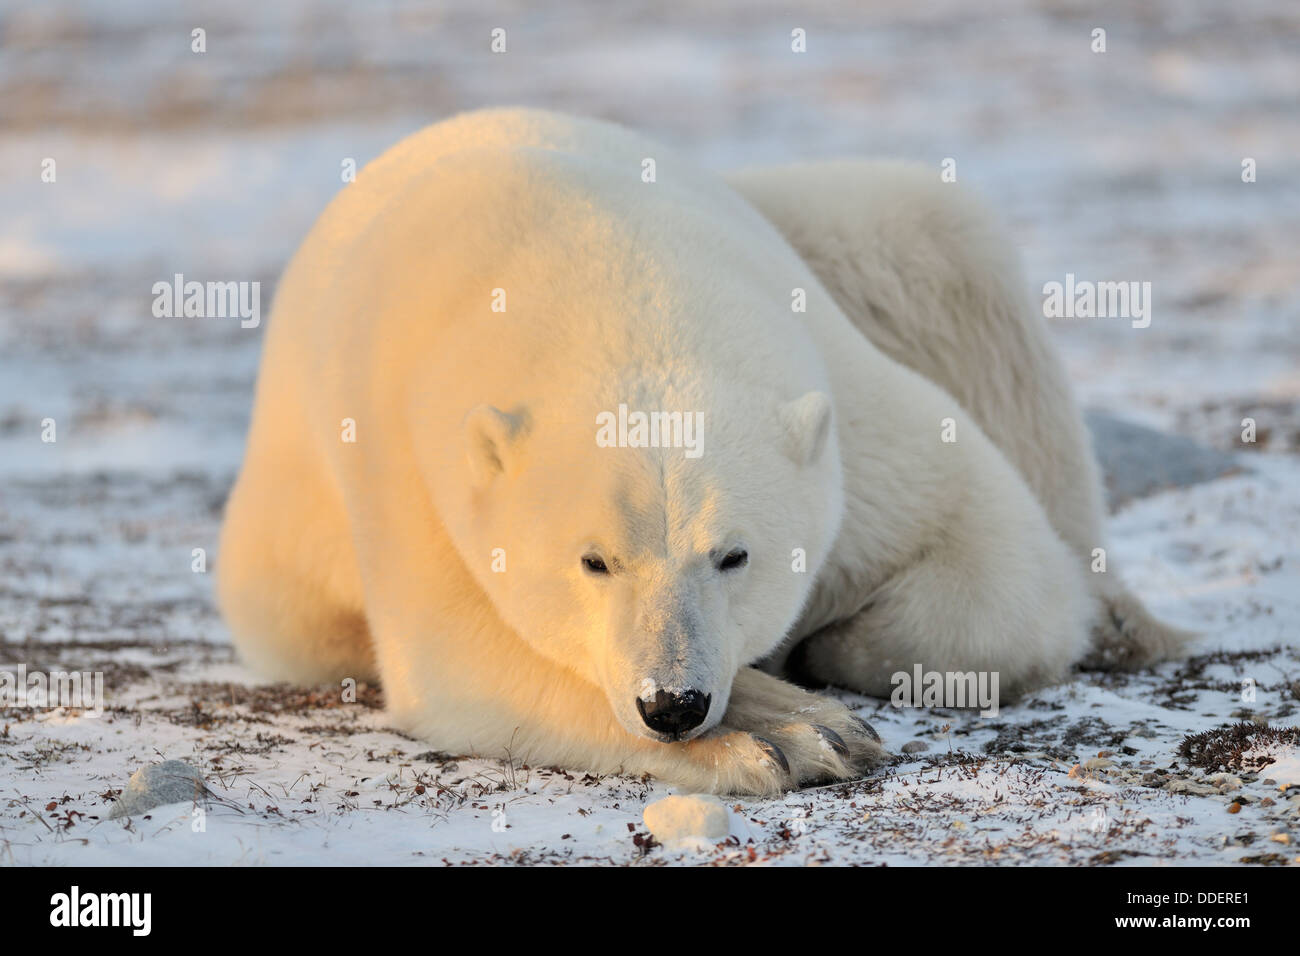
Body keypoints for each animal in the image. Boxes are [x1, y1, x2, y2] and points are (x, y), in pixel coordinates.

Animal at [217, 108, 1192, 795]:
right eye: (593, 561)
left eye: (733, 555)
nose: (673, 703)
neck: (607, 278)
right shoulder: (411, 459)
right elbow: (465, 657)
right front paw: (788, 734)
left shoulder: (840, 395)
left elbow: (994, 555)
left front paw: (815, 662)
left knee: (941, 240)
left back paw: (1124, 621)